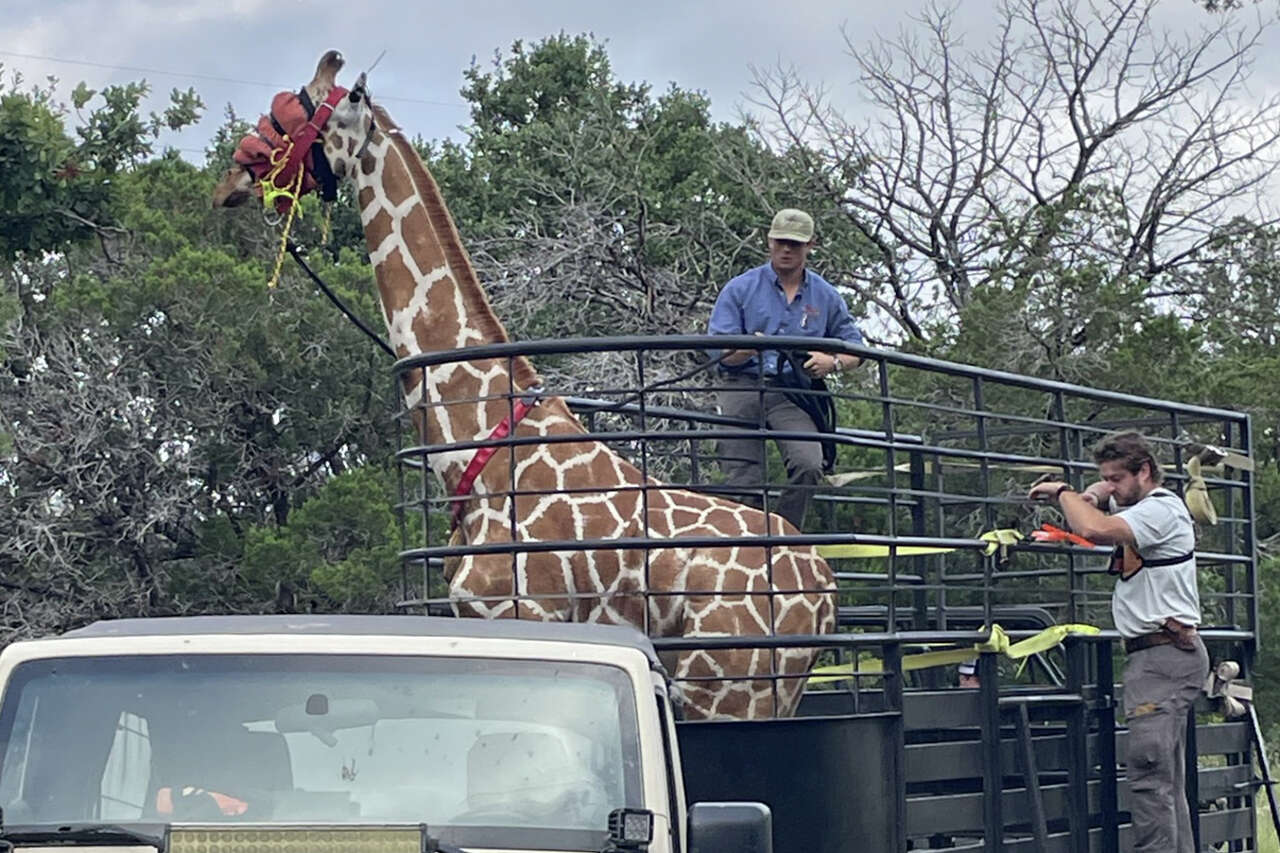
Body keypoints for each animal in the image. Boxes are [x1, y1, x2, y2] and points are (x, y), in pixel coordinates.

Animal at [211, 51, 836, 719]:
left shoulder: (518, 617)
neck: (477, 439)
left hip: (726, 689)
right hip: (769, 694)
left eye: (289, 112)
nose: (227, 182)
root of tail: (826, 590)